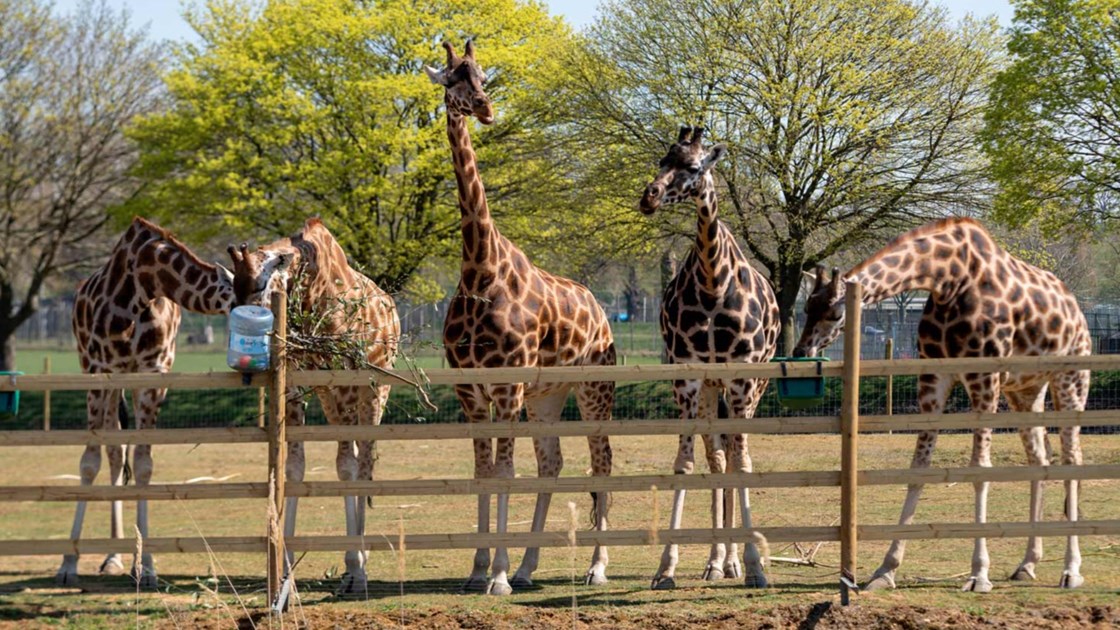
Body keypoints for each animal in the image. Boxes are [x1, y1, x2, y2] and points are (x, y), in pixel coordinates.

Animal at [57, 217, 235, 588]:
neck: (145, 279)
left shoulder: (153, 374)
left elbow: (143, 464)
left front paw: (148, 567)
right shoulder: (99, 370)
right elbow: (88, 462)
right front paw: (67, 563)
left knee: (119, 453)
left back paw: (117, 557)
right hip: (100, 374)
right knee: (112, 452)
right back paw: (110, 557)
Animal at [227, 217, 399, 595]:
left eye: (260, 282)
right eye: (233, 286)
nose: (248, 323)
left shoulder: (348, 382)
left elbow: (348, 468)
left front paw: (356, 570)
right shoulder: (296, 385)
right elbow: (294, 468)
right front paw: (286, 570)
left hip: (376, 389)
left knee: (364, 462)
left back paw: (358, 564)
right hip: (330, 396)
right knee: (354, 458)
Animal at [425, 40, 616, 596]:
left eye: (484, 76)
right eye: (453, 79)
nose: (485, 108)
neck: (478, 268)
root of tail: (602, 310)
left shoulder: (506, 385)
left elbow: (506, 473)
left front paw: (498, 577)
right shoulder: (471, 390)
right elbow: (485, 472)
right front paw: (478, 569)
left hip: (594, 387)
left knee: (601, 461)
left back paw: (596, 568)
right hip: (546, 396)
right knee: (552, 462)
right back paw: (531, 566)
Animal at [638, 126, 780, 590]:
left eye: (694, 166)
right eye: (662, 160)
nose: (649, 196)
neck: (713, 283)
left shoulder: (742, 379)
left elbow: (743, 463)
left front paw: (755, 566)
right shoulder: (687, 378)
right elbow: (686, 464)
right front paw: (666, 567)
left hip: (752, 388)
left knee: (734, 455)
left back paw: (733, 562)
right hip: (709, 391)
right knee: (717, 458)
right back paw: (717, 561)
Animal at [793, 216, 1090, 592]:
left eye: (833, 313)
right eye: (806, 308)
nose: (802, 350)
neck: (947, 279)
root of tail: (1077, 311)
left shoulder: (983, 378)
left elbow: (980, 471)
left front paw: (979, 574)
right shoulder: (933, 376)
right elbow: (917, 469)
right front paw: (885, 570)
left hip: (1070, 378)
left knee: (1072, 459)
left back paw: (1072, 569)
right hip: (1025, 389)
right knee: (1040, 458)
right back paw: (1027, 563)